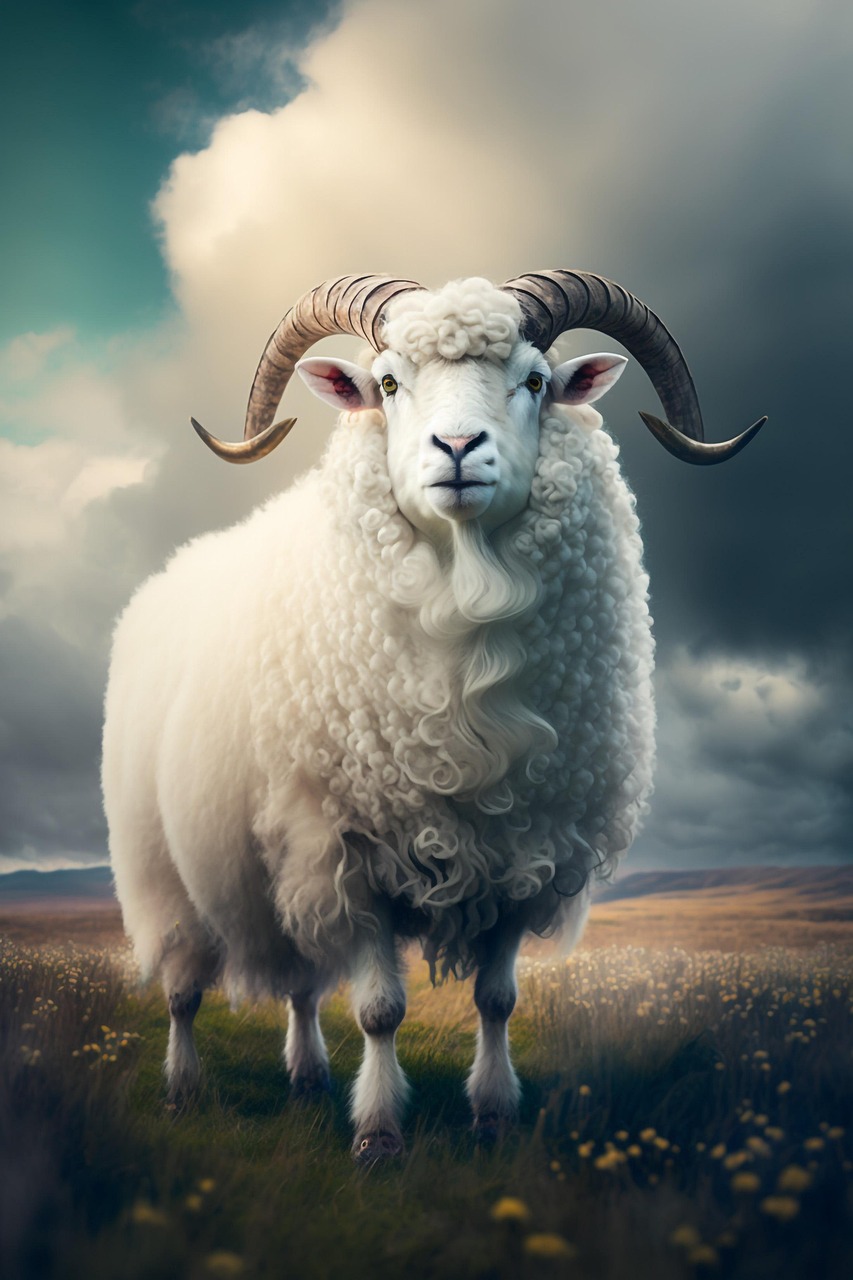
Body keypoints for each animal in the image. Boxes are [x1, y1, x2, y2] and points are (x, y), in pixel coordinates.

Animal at [101, 271, 765, 1161]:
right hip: (162, 864)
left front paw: (492, 1115)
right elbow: (380, 1009)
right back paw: (182, 1090)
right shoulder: (353, 849)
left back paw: (307, 1076)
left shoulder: (520, 850)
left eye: (534, 380)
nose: (456, 448)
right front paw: (379, 1134)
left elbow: (496, 1001)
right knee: (181, 988)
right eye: (385, 384)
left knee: (302, 985)